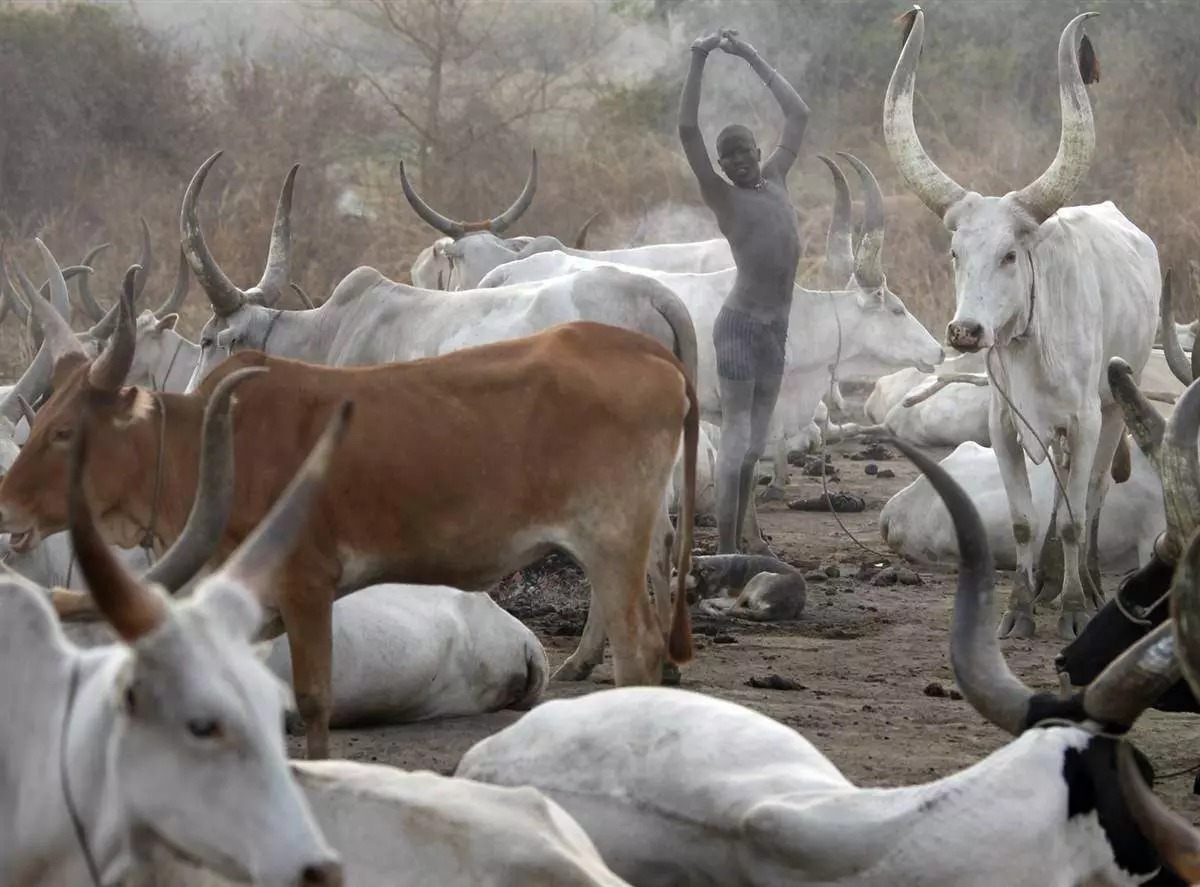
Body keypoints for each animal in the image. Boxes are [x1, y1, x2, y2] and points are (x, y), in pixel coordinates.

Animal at [0, 268, 700, 758]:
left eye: (65, 432)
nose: (6, 505)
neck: (212, 446)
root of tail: (652, 354)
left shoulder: (307, 585)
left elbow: (313, 701)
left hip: (612, 544)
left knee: (638, 650)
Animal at [888, 10, 1156, 643]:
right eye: (955, 253)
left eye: (1011, 254)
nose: (965, 333)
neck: (1032, 345)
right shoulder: (1005, 425)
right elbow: (1023, 521)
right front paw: (1019, 609)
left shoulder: (1084, 421)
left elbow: (1076, 516)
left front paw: (1074, 612)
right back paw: (1052, 582)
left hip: (1113, 408)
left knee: (1092, 494)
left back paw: (1087, 585)